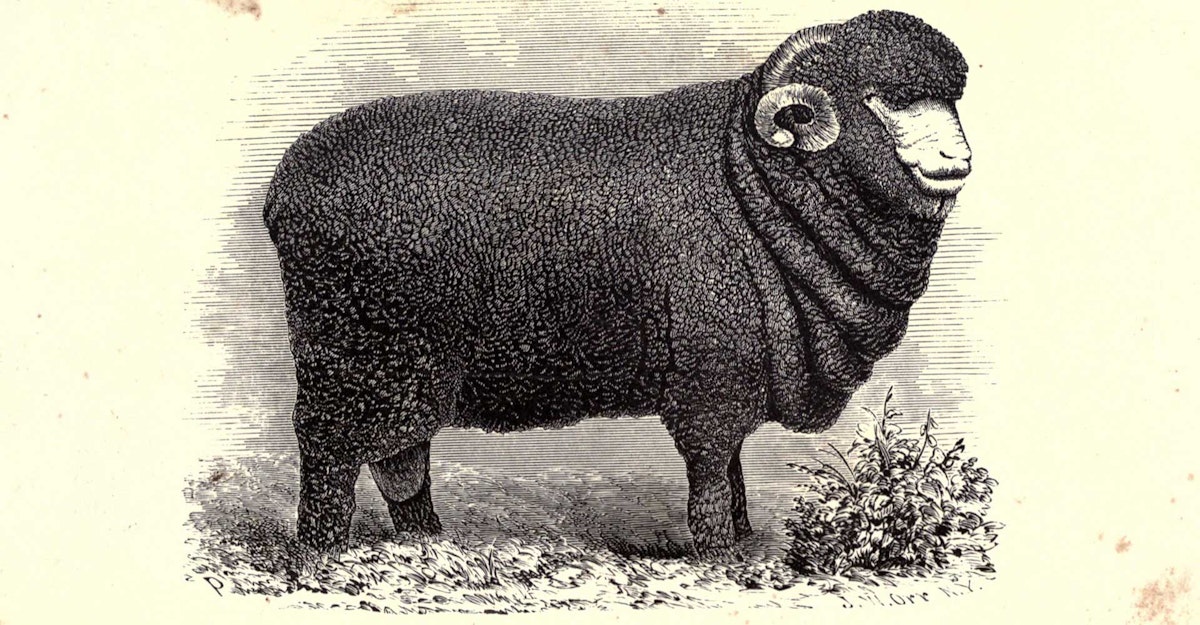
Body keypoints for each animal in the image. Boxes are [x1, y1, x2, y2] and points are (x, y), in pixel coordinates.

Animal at [263, 9, 973, 559]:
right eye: (885, 98)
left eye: (951, 101)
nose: (958, 159)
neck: (756, 182)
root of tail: (281, 191)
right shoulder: (709, 380)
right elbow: (712, 470)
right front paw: (718, 553)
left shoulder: (736, 374)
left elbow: (736, 468)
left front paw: (742, 538)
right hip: (356, 356)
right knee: (328, 450)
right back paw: (321, 549)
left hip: (402, 373)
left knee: (400, 459)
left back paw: (425, 540)